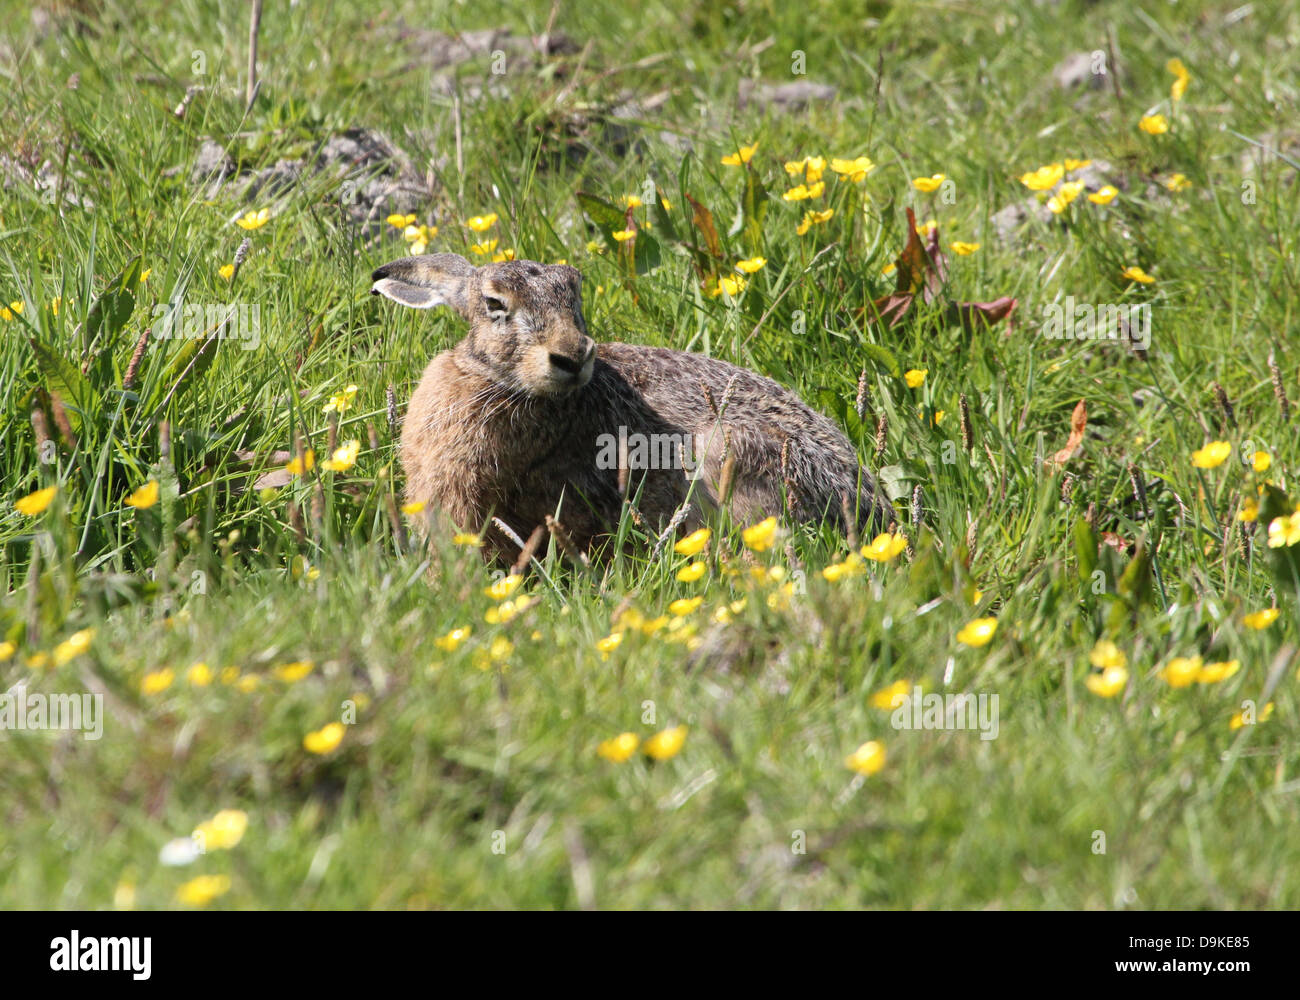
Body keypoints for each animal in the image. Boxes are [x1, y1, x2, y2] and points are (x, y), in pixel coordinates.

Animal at [372, 252, 895, 565]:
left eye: (575, 295)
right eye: (494, 303)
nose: (573, 356)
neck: (495, 381)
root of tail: (870, 505)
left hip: (731, 455)